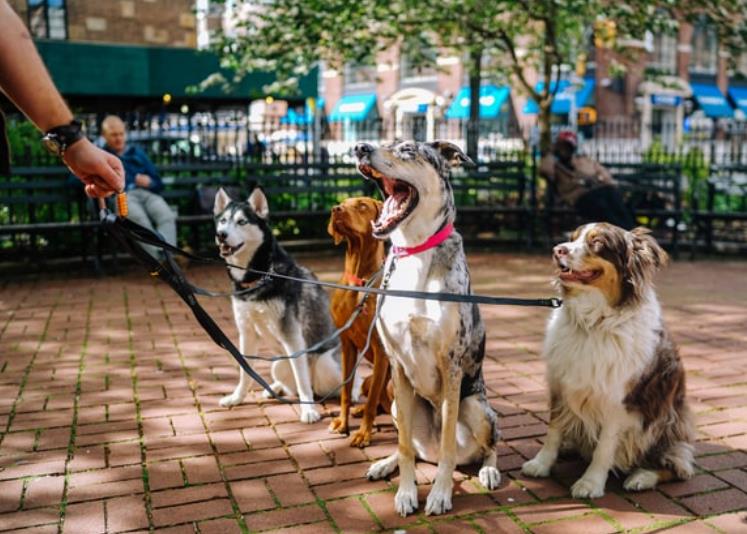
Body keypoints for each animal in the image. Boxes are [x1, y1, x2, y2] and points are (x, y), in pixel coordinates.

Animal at [213, 191, 342, 426]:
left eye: (242, 222)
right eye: (223, 221)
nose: (221, 235)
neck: (259, 277)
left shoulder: (292, 336)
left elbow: (302, 380)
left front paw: (308, 410)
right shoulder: (247, 332)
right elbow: (245, 371)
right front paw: (237, 398)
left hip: (325, 364)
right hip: (278, 365)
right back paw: (274, 388)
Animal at [330, 197, 394, 448]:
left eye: (362, 206)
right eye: (341, 203)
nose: (335, 209)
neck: (359, 282)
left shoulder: (380, 350)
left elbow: (372, 401)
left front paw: (363, 434)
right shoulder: (346, 343)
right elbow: (346, 391)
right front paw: (343, 422)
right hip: (366, 380)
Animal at [354, 142, 500, 520]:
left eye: (407, 149)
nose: (360, 147)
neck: (415, 251)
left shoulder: (451, 365)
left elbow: (448, 444)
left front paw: (440, 495)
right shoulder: (396, 365)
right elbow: (405, 446)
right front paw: (406, 494)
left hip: (477, 408)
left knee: (488, 447)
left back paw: (489, 471)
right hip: (395, 403)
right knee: (412, 447)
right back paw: (384, 464)